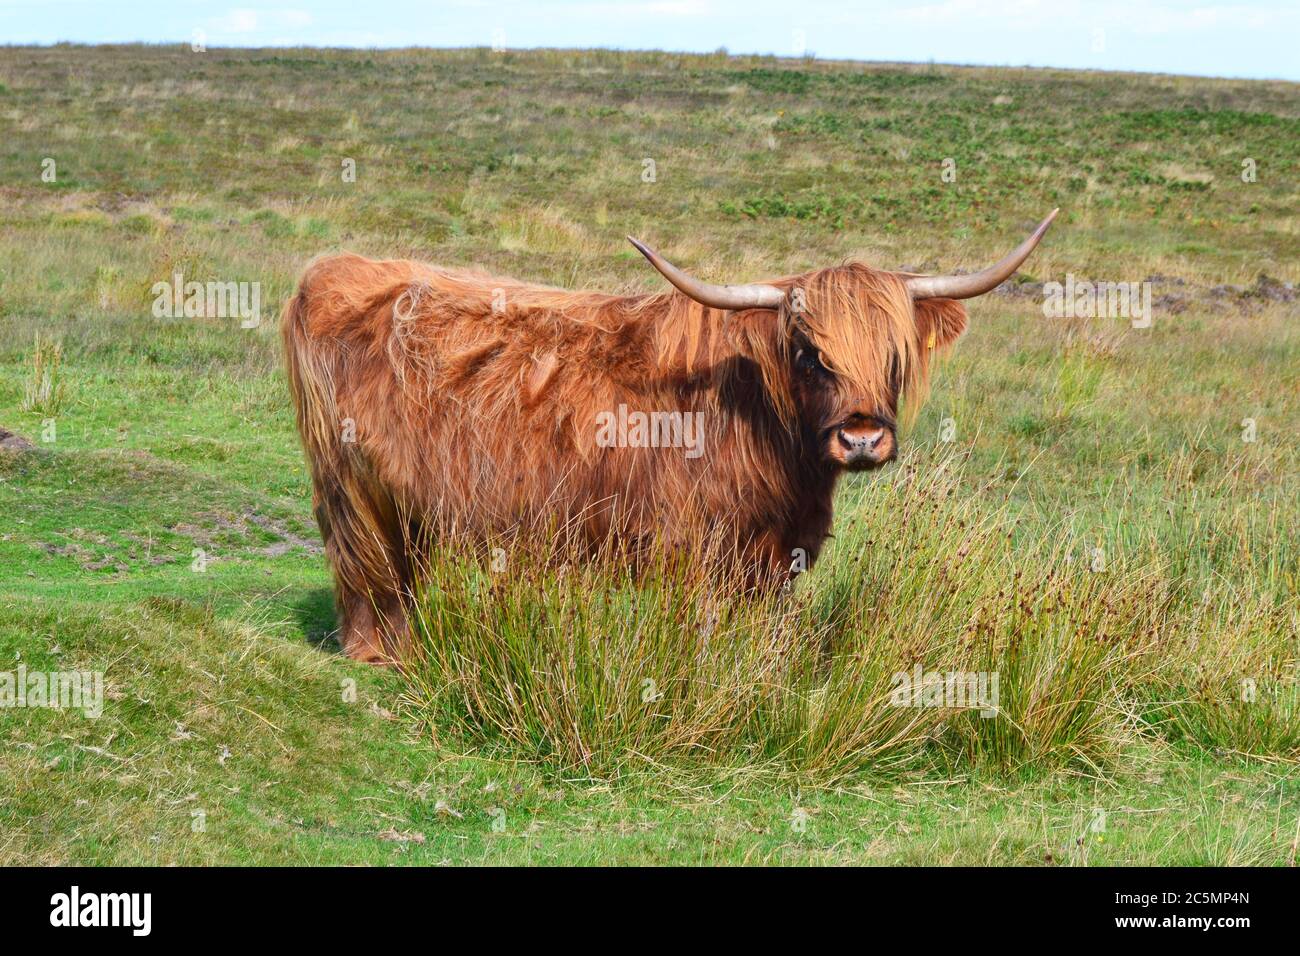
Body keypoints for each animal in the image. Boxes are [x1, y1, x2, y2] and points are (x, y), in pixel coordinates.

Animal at [282, 210, 1057, 663]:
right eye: (810, 353)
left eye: (893, 357)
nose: (862, 438)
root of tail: (331, 269)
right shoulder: (693, 546)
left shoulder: (774, 554)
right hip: (351, 488)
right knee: (363, 569)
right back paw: (378, 656)